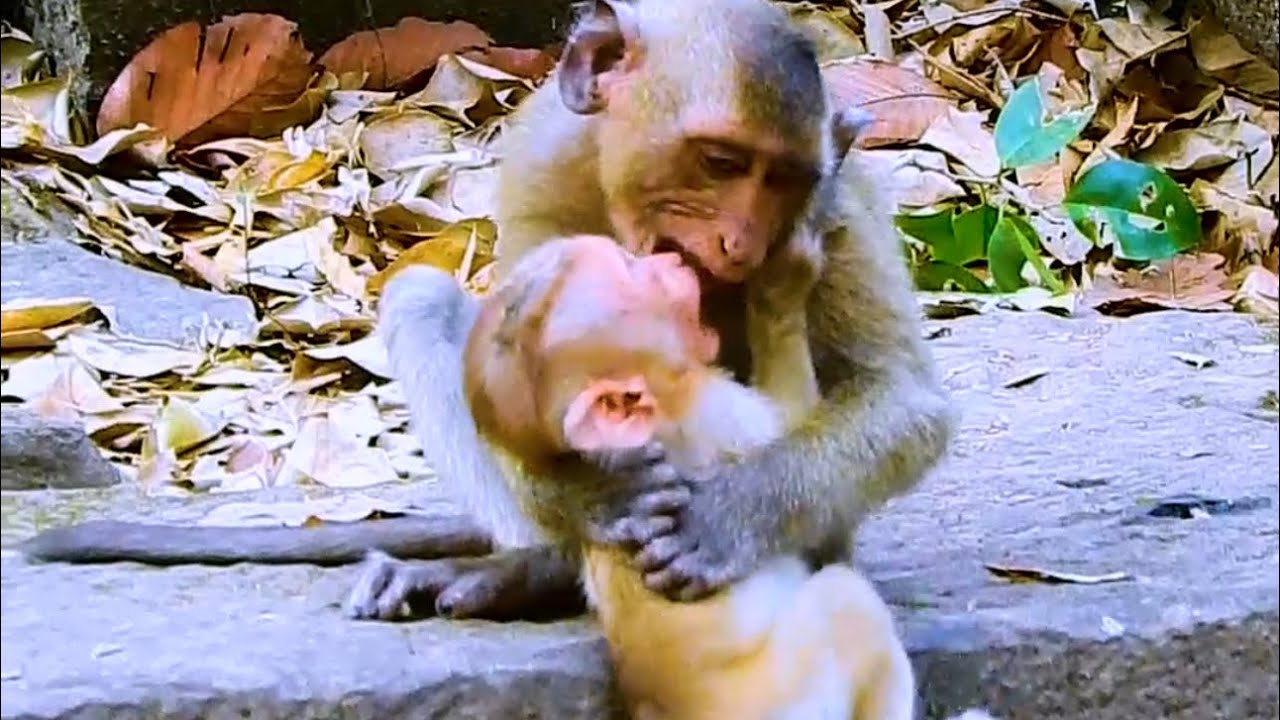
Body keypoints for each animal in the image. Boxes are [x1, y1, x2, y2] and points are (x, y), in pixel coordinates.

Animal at [454, 232, 917, 720]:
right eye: (631, 270)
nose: (668, 260)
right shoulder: (709, 409)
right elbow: (787, 424)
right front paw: (782, 285)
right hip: (789, 695)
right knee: (847, 601)